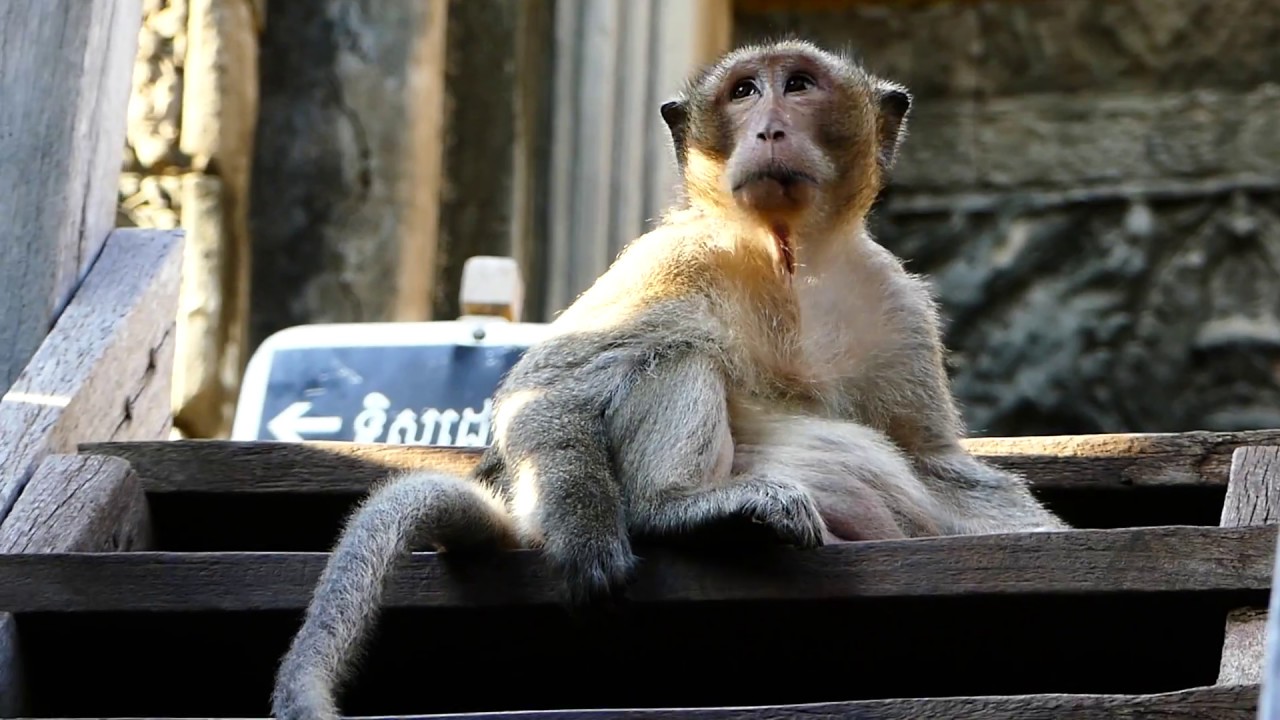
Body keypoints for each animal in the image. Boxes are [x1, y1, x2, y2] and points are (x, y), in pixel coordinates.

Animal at [271, 39, 1067, 720]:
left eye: (799, 86)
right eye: (744, 91)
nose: (769, 128)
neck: (784, 253)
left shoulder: (896, 301)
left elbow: (936, 462)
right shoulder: (671, 258)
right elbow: (551, 385)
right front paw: (587, 526)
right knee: (678, 356)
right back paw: (683, 509)